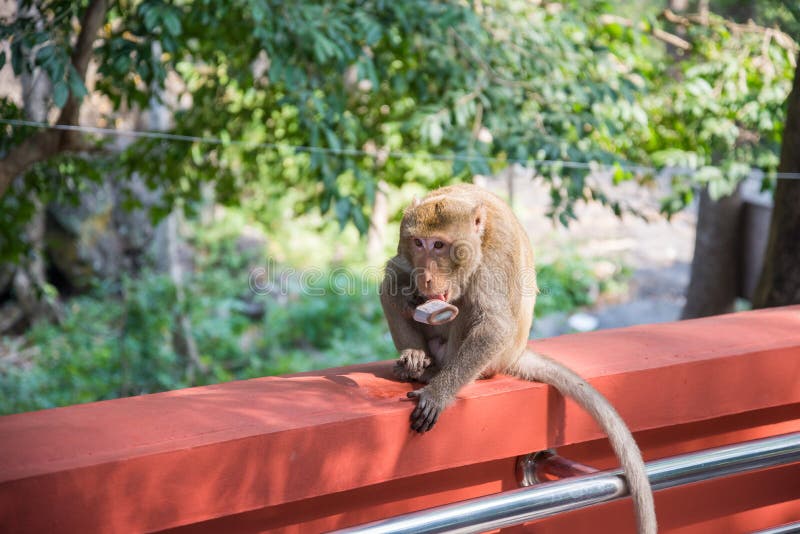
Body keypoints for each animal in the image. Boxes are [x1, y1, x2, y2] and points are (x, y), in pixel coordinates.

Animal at [379, 184, 657, 534]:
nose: (425, 278)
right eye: (418, 243)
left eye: (439, 245)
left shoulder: (491, 259)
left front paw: (439, 394)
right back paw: (414, 360)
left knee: (474, 309)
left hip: (493, 356)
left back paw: (437, 373)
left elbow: (494, 324)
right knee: (391, 276)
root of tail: (517, 352)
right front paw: (408, 301)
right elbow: (391, 275)